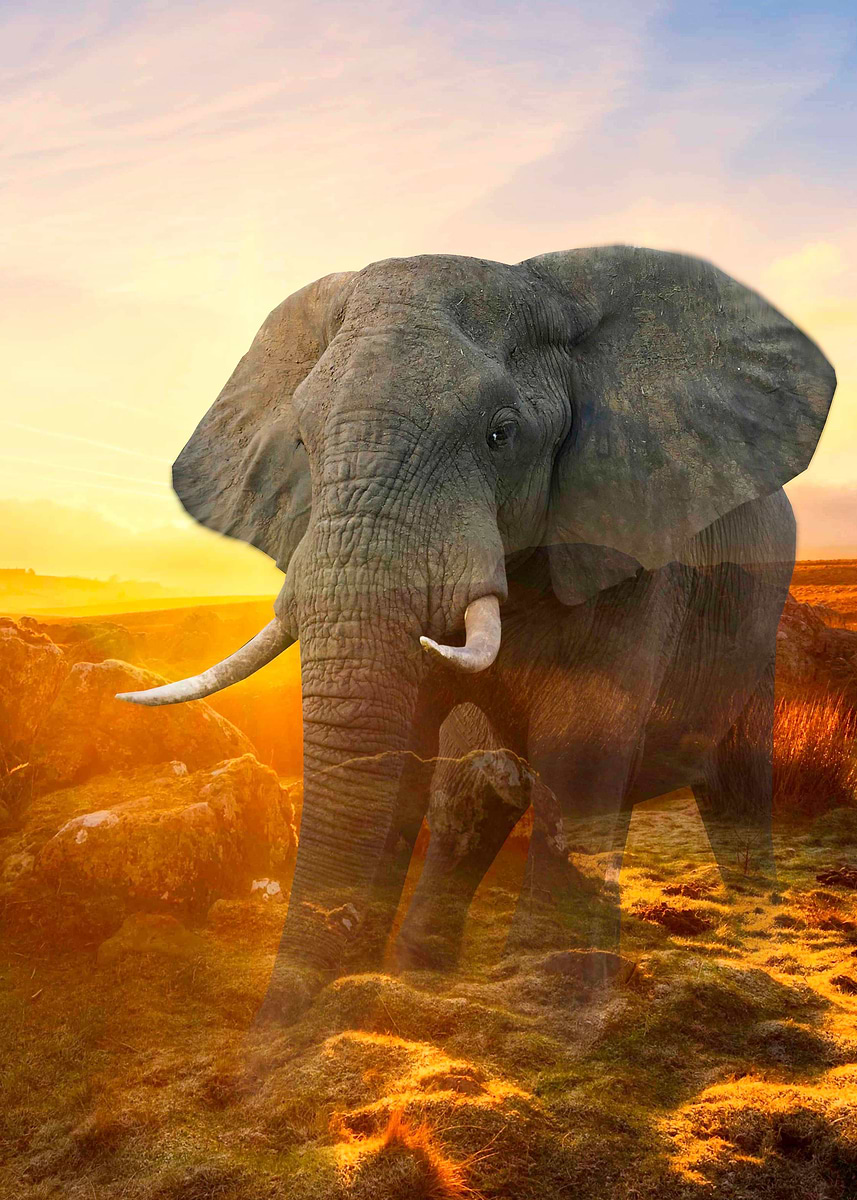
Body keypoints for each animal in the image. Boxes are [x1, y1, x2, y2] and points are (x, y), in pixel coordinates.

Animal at [118, 245, 836, 1020]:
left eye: (500, 433)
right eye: (302, 444)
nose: (266, 1043)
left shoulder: (631, 537)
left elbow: (581, 747)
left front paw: (546, 1000)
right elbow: (410, 758)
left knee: (737, 790)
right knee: (470, 802)